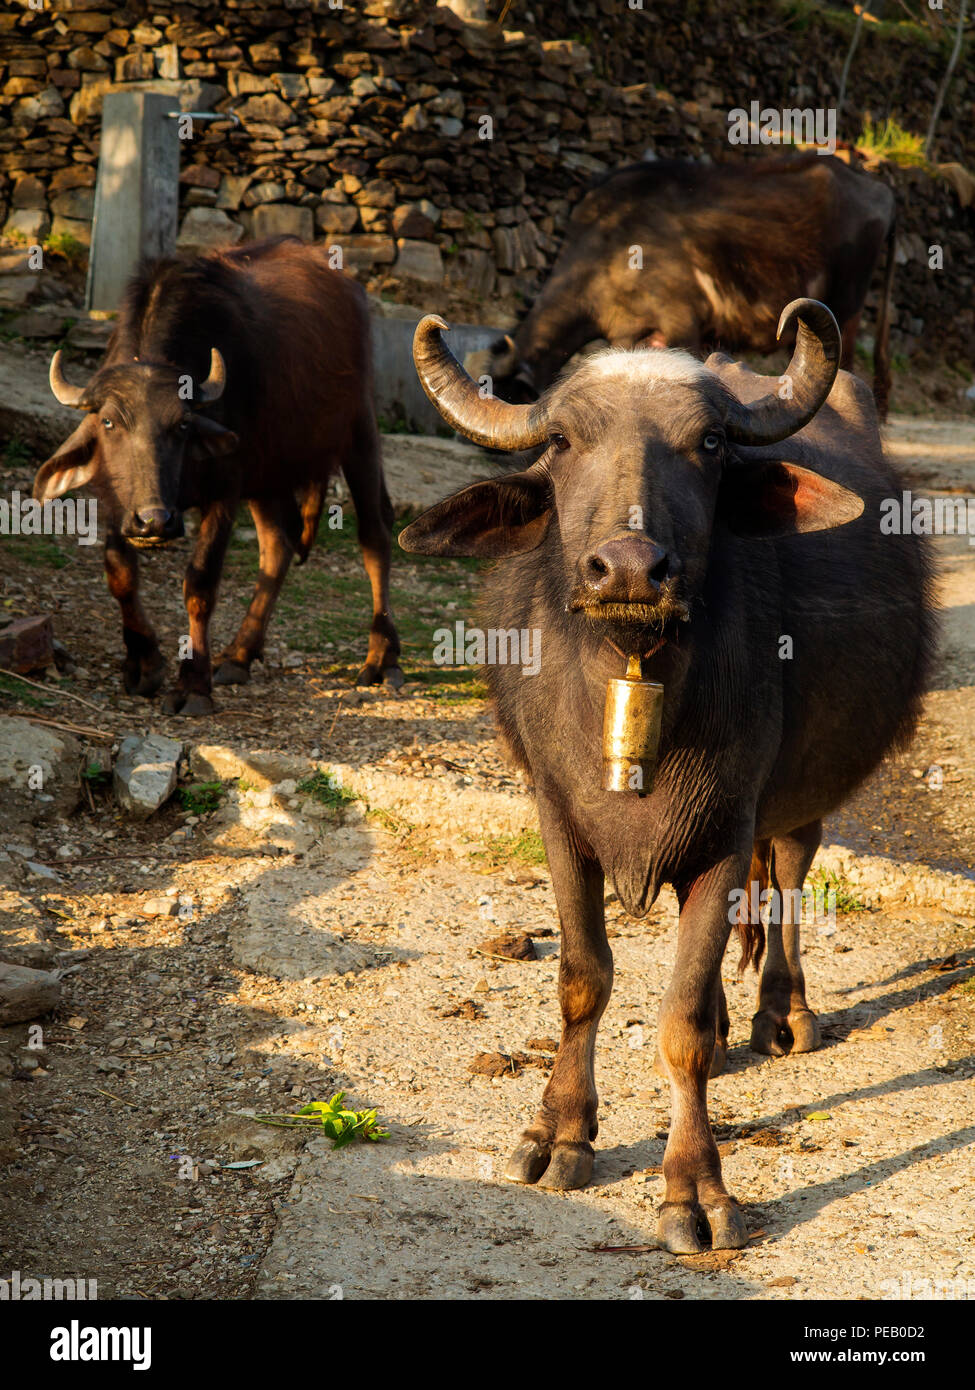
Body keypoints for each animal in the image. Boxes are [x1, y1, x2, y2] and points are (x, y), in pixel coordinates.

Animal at [33, 237, 403, 713]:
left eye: (183, 425)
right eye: (110, 423)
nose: (154, 522)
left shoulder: (225, 493)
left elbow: (200, 583)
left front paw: (193, 684)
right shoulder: (117, 500)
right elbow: (119, 571)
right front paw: (143, 663)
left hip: (359, 431)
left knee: (375, 535)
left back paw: (381, 658)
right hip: (268, 474)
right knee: (278, 546)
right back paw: (240, 655)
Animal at [401, 299, 934, 1253]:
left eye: (710, 444)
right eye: (562, 441)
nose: (630, 568)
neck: (631, 667)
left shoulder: (727, 826)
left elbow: (678, 1018)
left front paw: (693, 1190)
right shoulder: (557, 819)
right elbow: (583, 978)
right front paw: (558, 1132)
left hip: (800, 796)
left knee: (787, 873)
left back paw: (779, 1015)